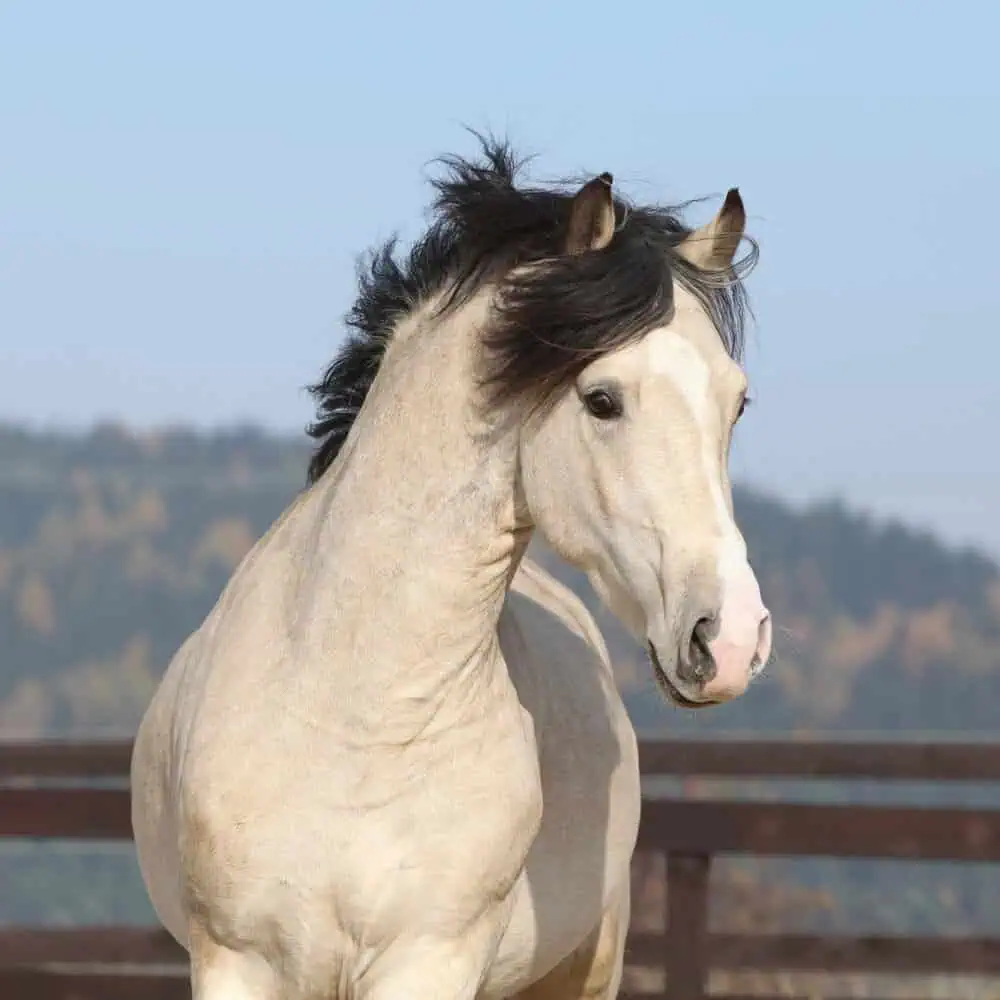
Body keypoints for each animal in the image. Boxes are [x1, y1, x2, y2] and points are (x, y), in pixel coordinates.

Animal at [130, 138, 772, 1000]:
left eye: (736, 404)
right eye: (602, 399)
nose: (730, 639)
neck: (358, 719)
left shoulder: (428, 960)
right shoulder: (238, 962)